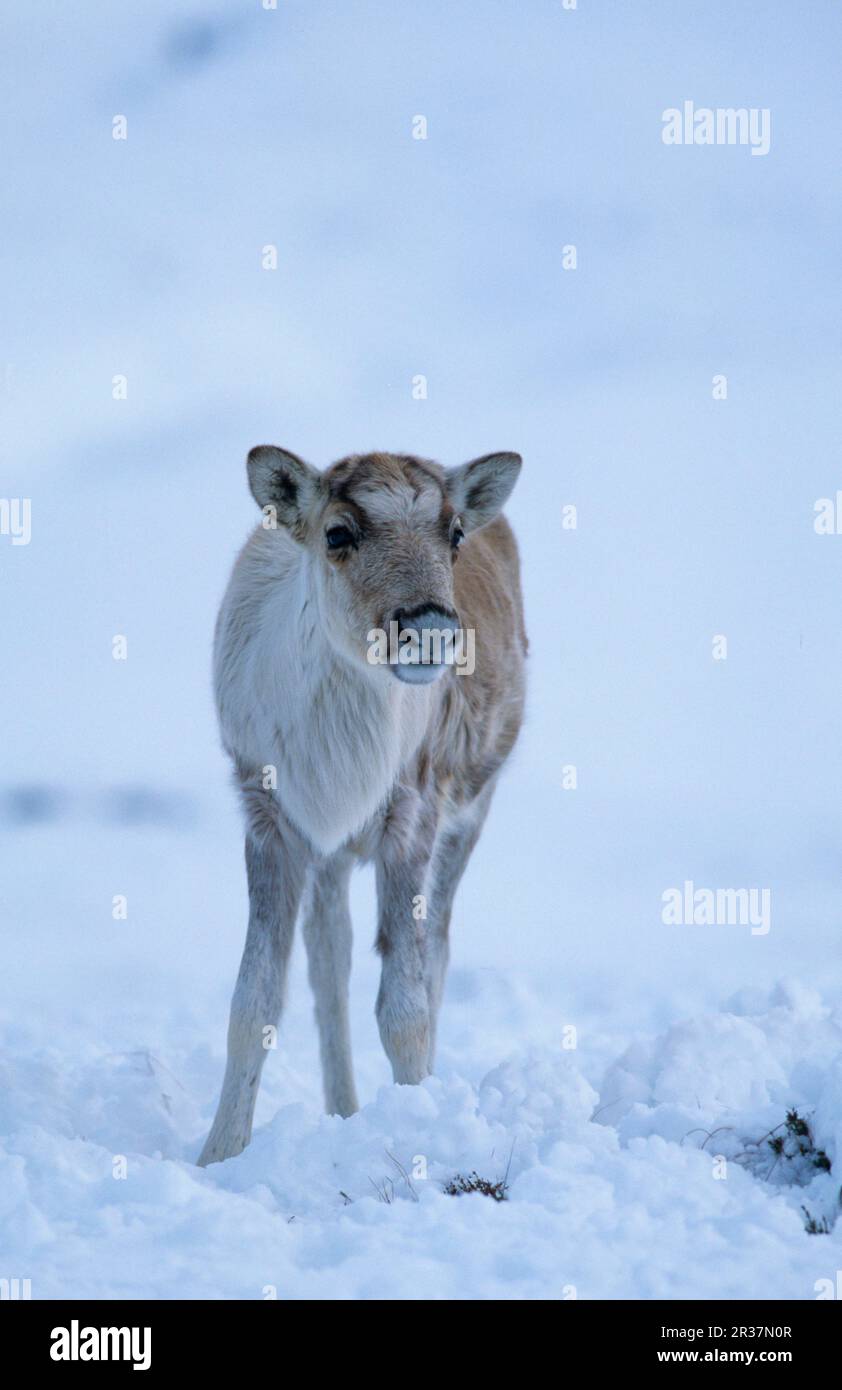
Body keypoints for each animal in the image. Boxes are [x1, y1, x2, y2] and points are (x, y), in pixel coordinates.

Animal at [198, 447, 526, 1165]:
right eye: (338, 533)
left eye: (453, 533)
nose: (429, 628)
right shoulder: (273, 820)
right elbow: (253, 1003)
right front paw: (219, 1154)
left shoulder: (414, 816)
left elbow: (404, 1009)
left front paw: (419, 1140)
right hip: (332, 857)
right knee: (330, 959)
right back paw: (344, 1111)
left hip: (467, 817)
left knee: (436, 957)